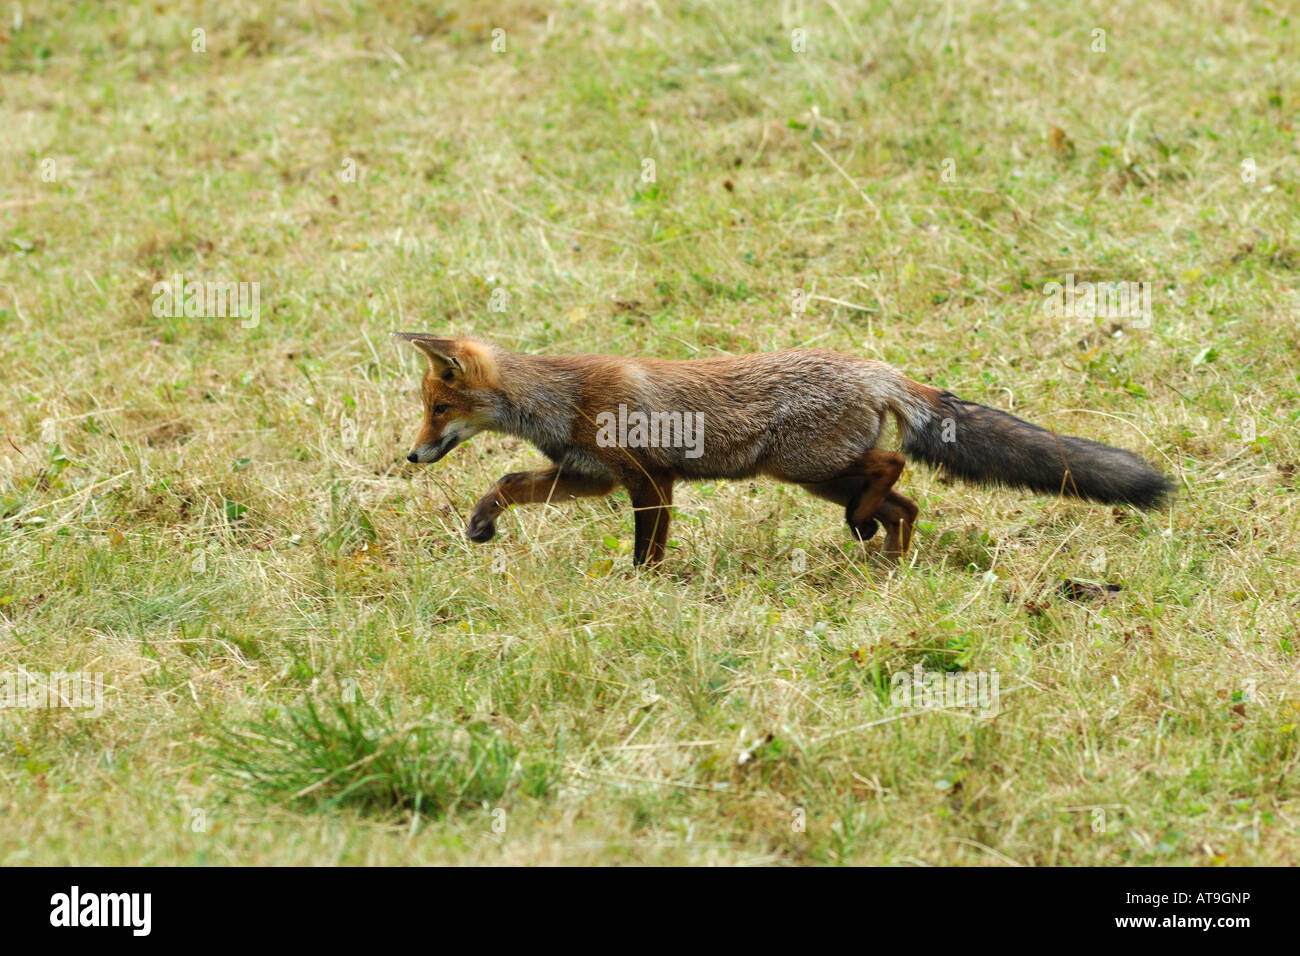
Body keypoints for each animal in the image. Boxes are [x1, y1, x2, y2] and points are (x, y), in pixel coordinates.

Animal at [395, 333, 1173, 566]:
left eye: (438, 410)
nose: (411, 457)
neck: (565, 398)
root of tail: (874, 367)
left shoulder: (649, 481)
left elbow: (648, 548)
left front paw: (642, 588)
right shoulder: (592, 477)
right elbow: (507, 479)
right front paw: (482, 522)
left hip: (804, 467)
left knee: (893, 470)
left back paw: (868, 535)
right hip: (819, 475)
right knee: (906, 502)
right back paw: (890, 561)